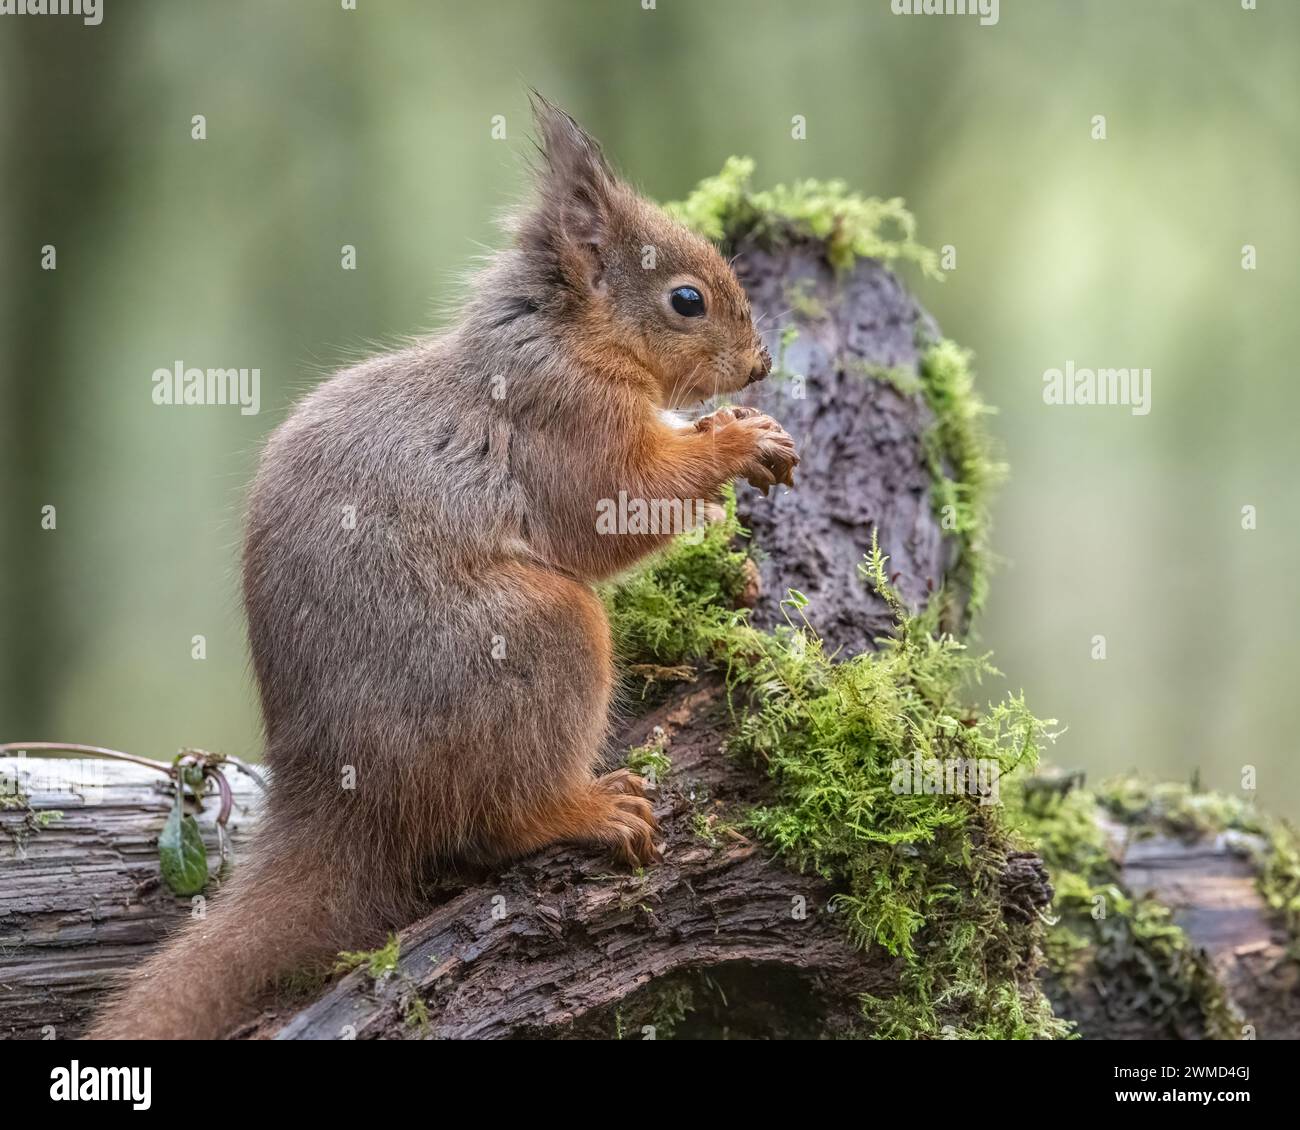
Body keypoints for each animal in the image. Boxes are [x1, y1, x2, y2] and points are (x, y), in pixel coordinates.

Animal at [89, 95, 797, 1040]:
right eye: (687, 300)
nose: (760, 365)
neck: (564, 337)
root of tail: (345, 797)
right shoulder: (564, 424)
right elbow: (613, 509)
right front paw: (732, 444)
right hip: (534, 636)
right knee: (494, 822)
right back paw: (582, 810)